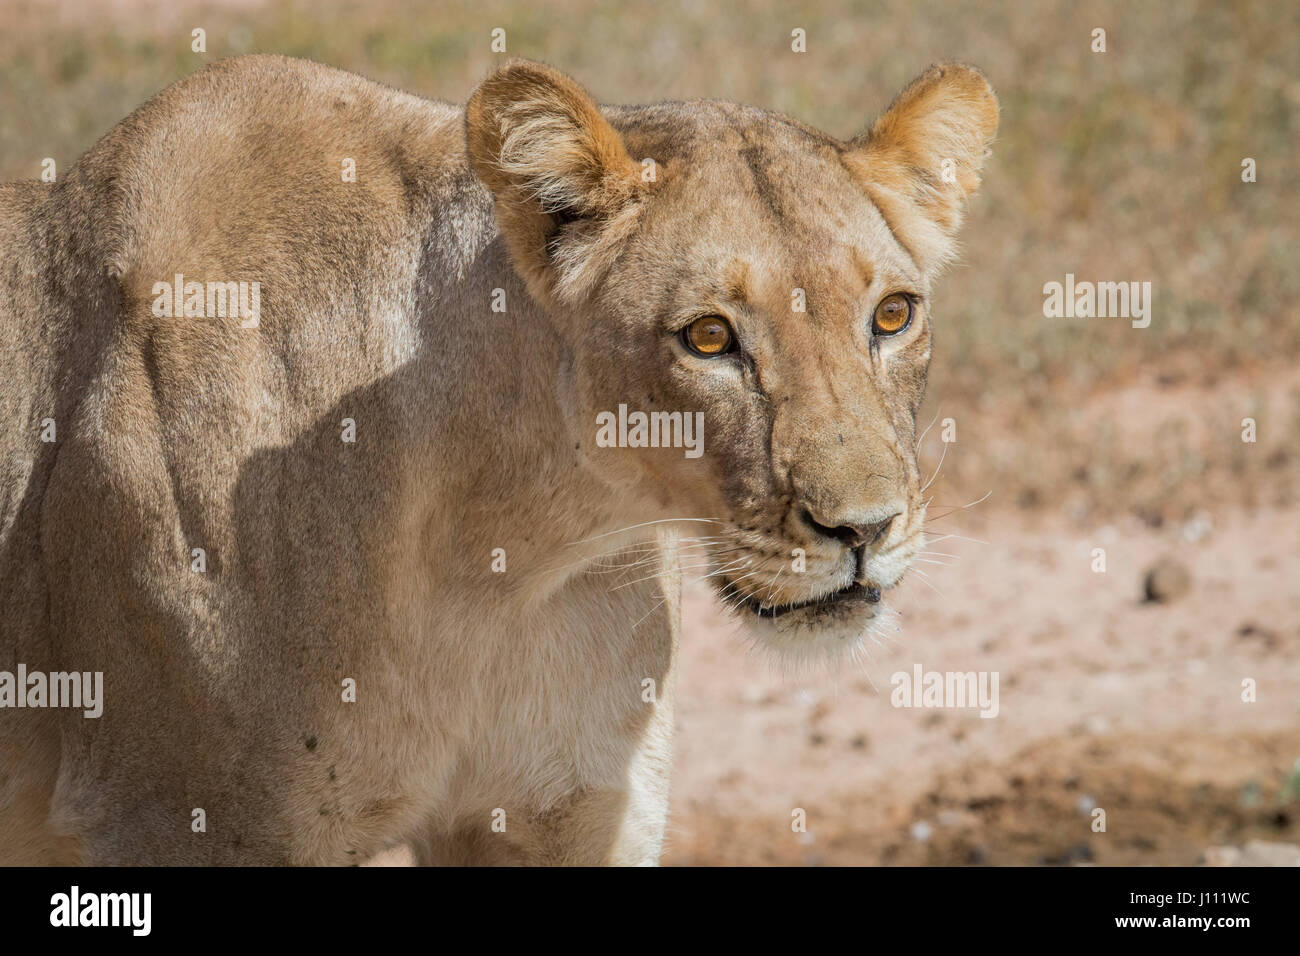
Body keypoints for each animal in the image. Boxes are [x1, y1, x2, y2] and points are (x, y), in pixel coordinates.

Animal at [0, 55, 997, 865]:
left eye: (893, 316)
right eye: (710, 338)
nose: (864, 531)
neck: (499, 554)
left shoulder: (569, 808)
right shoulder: (174, 821)